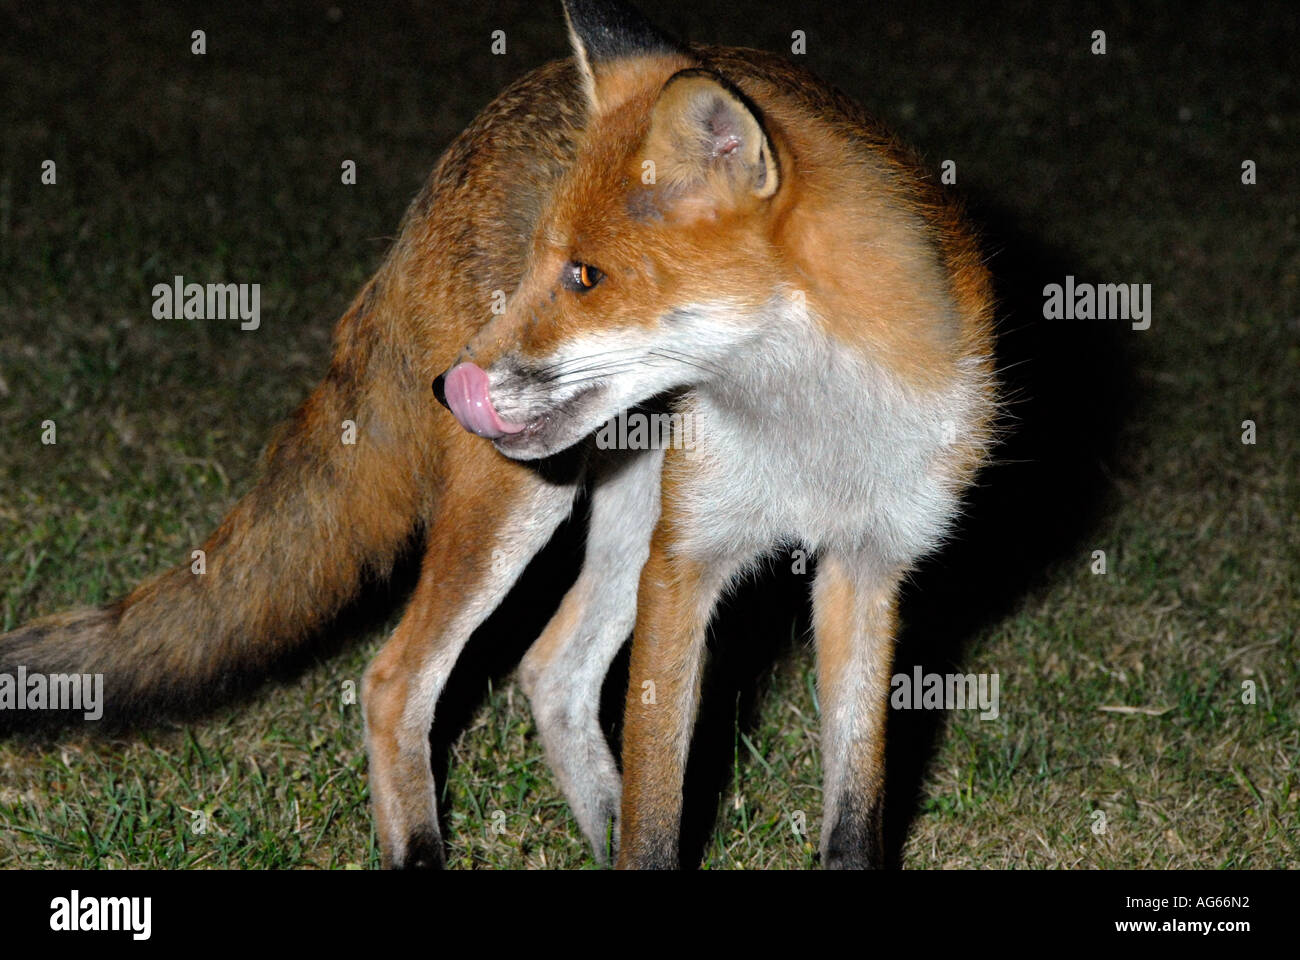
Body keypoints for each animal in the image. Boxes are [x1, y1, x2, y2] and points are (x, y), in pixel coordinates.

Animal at [1, 0, 995, 871]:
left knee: (550, 668)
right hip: (529, 496)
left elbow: (853, 817)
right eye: (543, 268)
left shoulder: (869, 563)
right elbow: (658, 815)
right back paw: (420, 847)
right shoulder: (689, 559)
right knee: (395, 680)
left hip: (621, 500)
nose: (448, 388)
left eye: (585, 276)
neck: (814, 433)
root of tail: (471, 139)